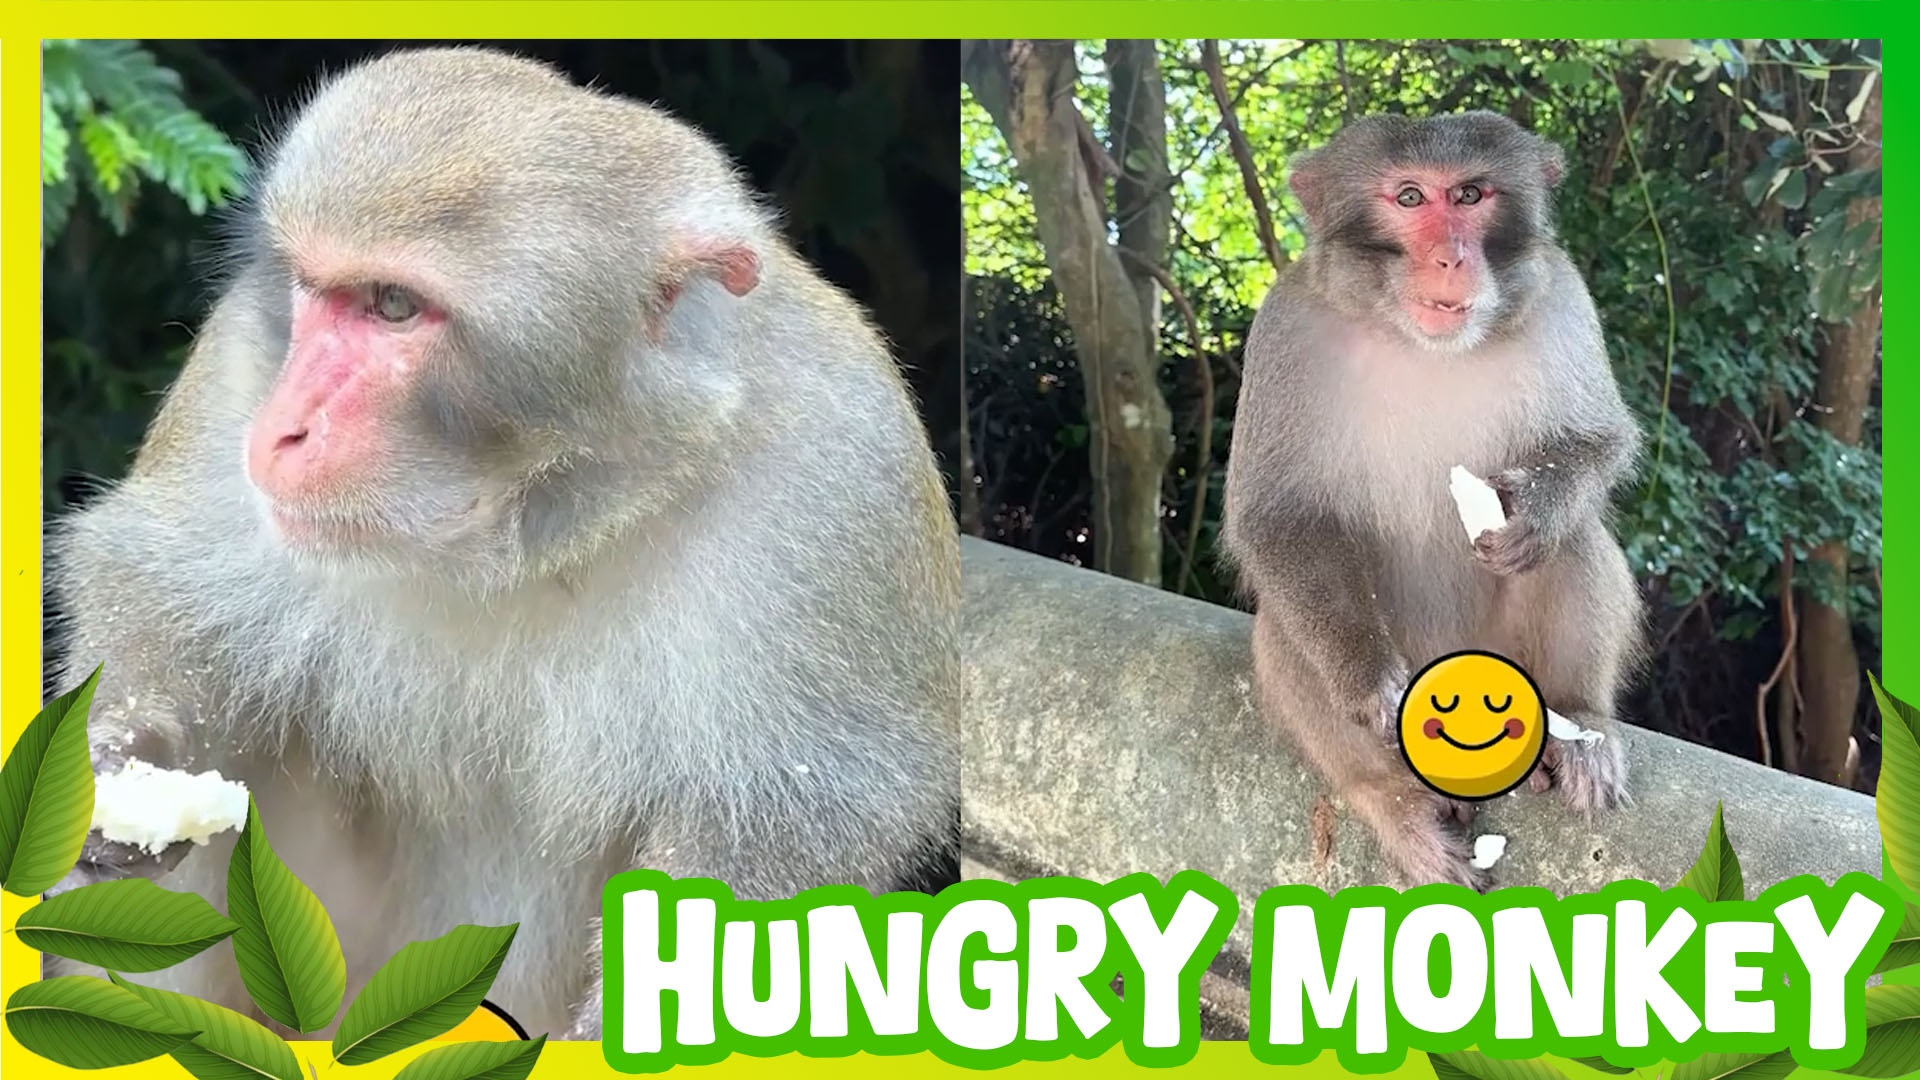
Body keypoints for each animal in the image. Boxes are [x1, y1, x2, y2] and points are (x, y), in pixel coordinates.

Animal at [45, 47, 961, 1041]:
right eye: (312, 289)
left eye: (394, 306)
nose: (280, 428)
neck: (536, 525)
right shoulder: (242, 359)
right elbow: (168, 591)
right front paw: (124, 763)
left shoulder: (845, 475)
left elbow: (794, 814)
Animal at [1220, 111, 1643, 890]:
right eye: (1411, 197)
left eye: (1470, 194)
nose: (1451, 257)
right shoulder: (1285, 324)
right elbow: (1276, 514)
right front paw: (1369, 685)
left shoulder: (1561, 294)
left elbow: (1596, 440)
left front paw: (1536, 510)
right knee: (1286, 621)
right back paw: (1394, 803)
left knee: (1575, 540)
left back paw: (1579, 724)